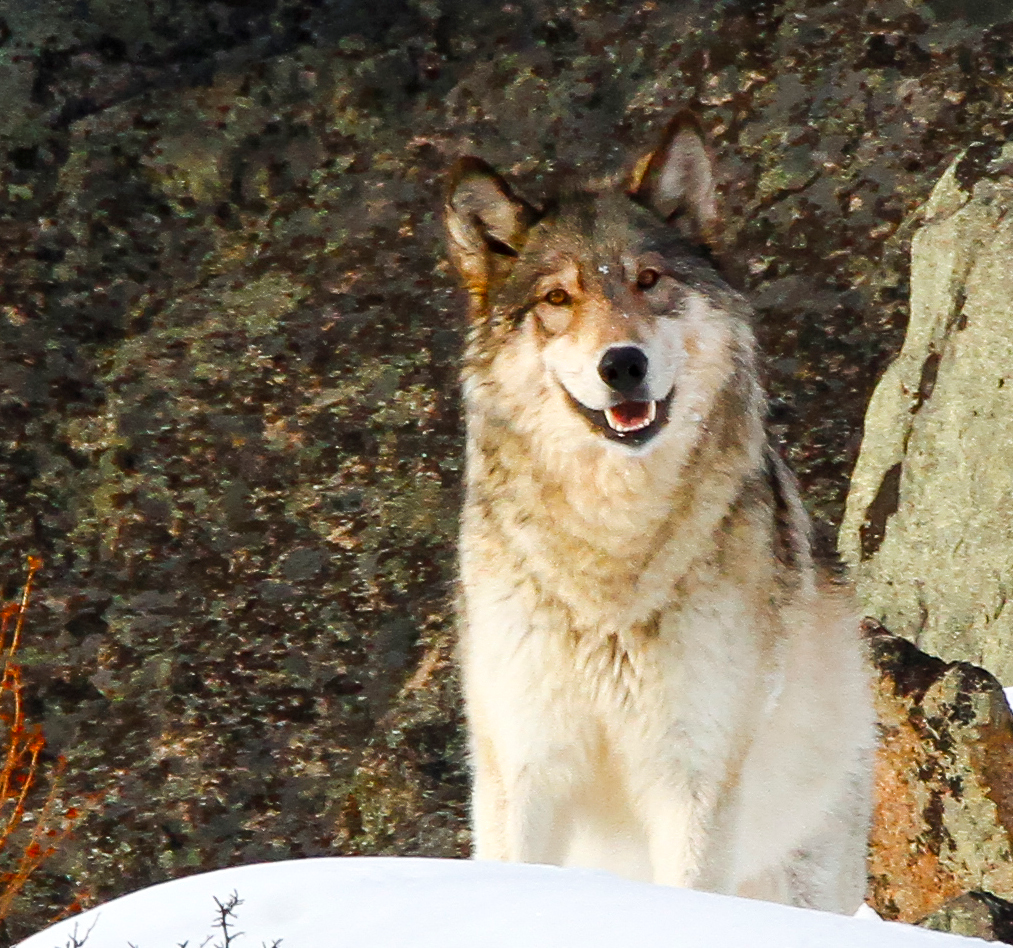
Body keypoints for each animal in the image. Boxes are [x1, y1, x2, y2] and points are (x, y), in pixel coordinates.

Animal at [443, 114, 876, 913]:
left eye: (648, 280)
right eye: (558, 299)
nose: (623, 364)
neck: (610, 563)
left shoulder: (691, 771)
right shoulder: (528, 765)